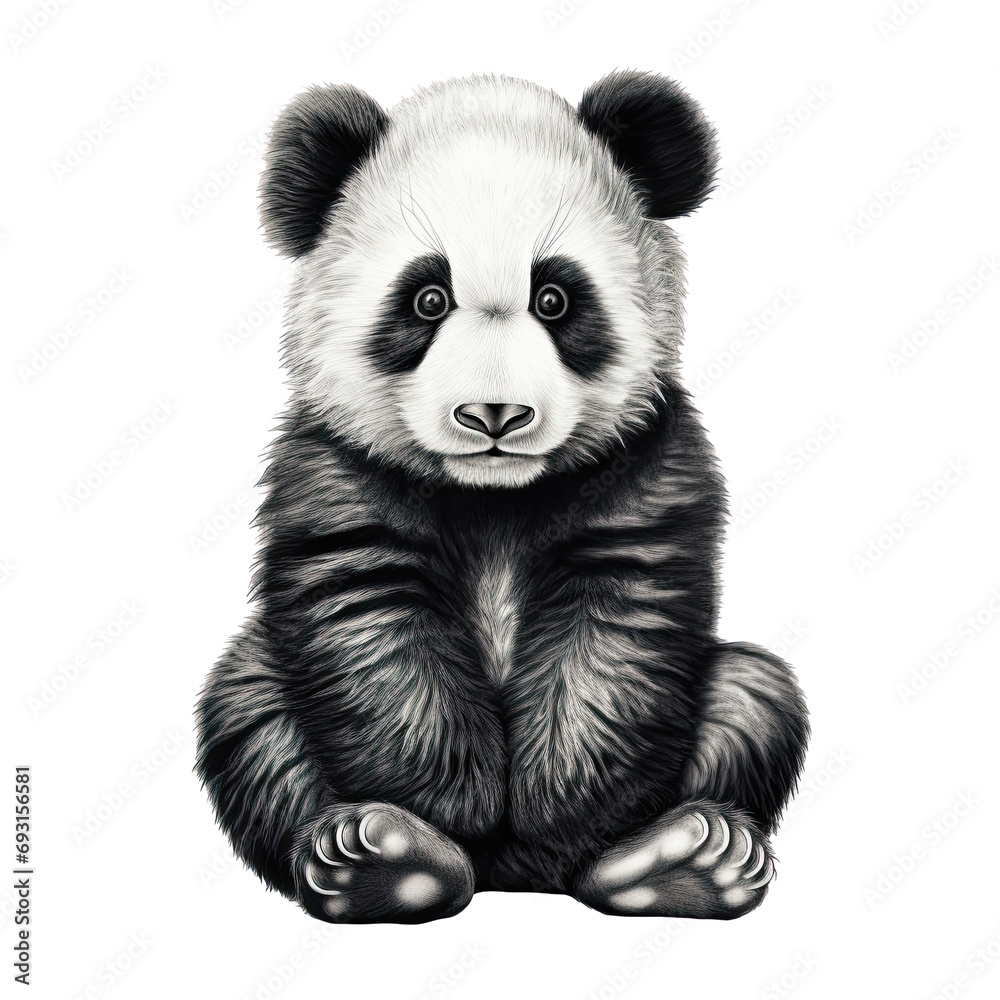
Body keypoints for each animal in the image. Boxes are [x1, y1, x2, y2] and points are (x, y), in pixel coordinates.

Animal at [195, 71, 809, 925]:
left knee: (755, 695)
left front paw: (562, 807)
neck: (493, 497)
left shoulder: (646, 457)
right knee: (247, 712)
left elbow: (615, 621)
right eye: (427, 299)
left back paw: (673, 860)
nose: (494, 415)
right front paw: (449, 807)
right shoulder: (336, 466)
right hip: (266, 697)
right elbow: (371, 613)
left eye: (554, 298)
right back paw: (386, 859)